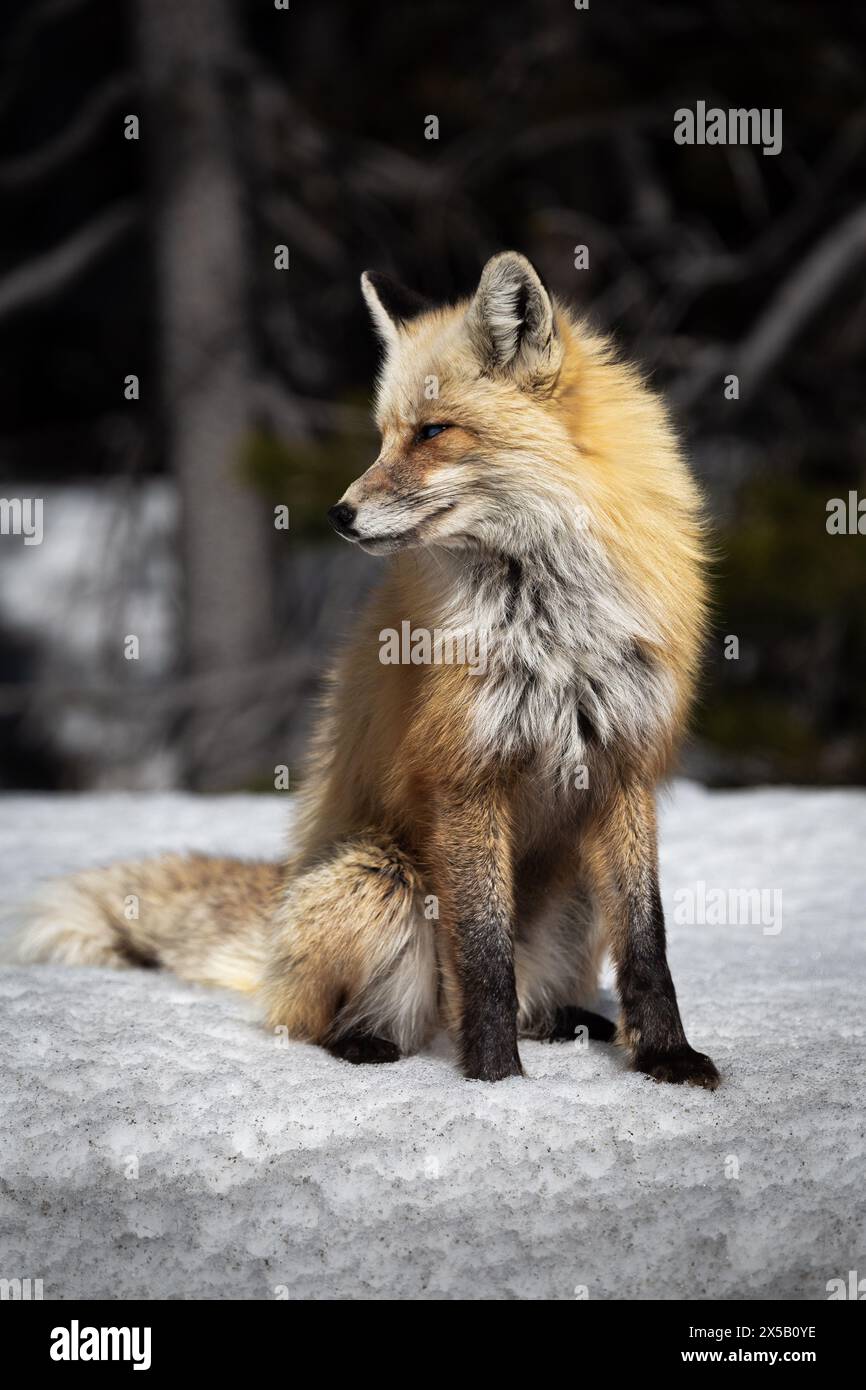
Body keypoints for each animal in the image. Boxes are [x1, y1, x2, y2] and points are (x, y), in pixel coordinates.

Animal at [9, 251, 719, 1088]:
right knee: (347, 1019)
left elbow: (648, 945)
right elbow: (483, 961)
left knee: (527, 998)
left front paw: (667, 1059)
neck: (552, 620)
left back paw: (568, 1022)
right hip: (384, 880)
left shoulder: (624, 765)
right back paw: (370, 1042)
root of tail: (282, 898)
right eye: (382, 438)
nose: (338, 516)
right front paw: (496, 1083)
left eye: (434, 432)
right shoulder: (465, 774)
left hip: (571, 887)